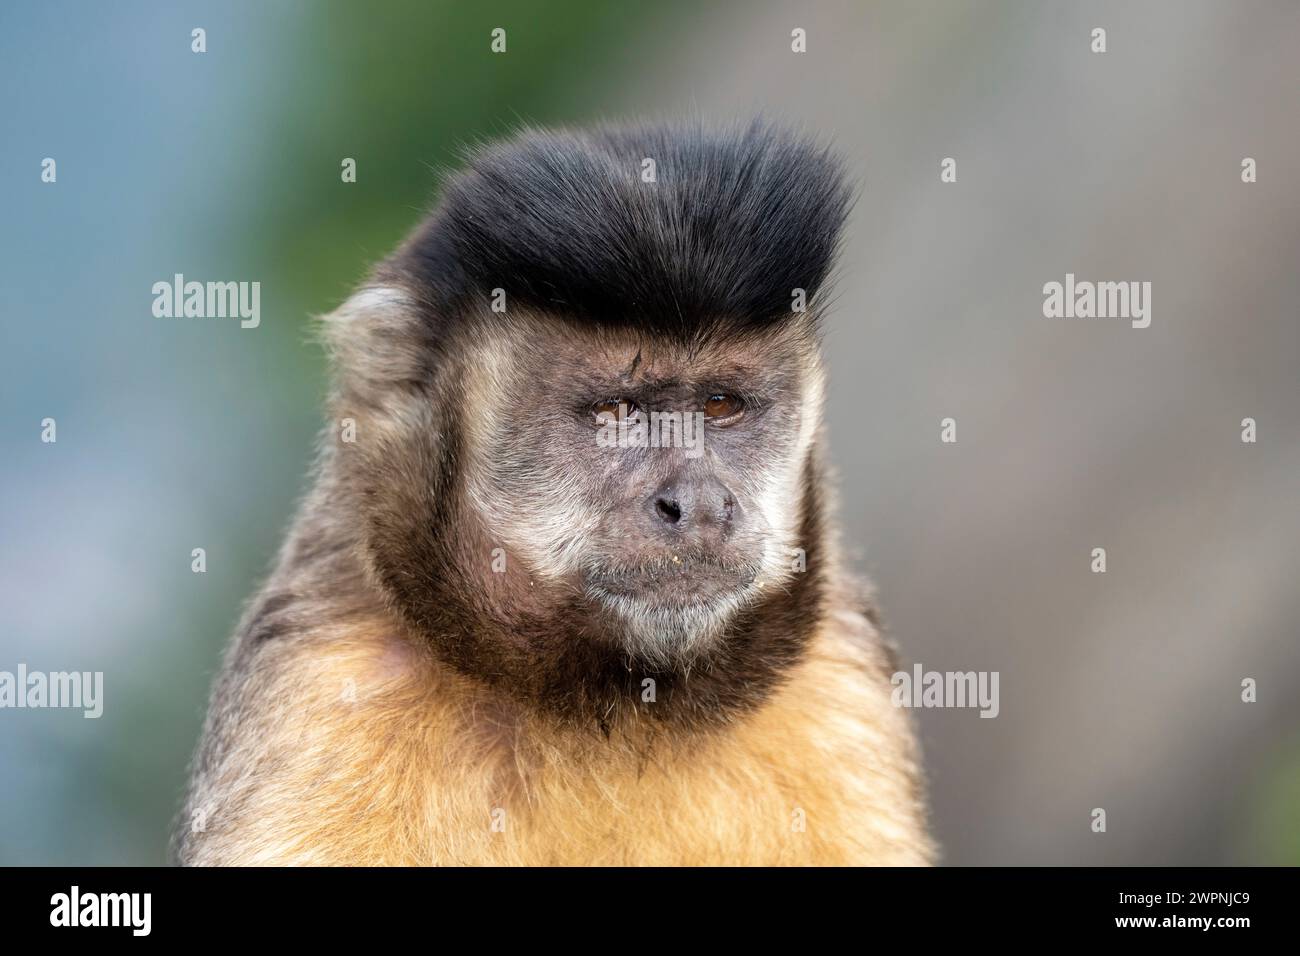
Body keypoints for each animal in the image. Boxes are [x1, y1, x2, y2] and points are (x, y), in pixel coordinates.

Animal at [176, 120, 935, 866]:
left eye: (721, 406)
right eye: (615, 412)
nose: (698, 503)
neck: (614, 706)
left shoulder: (844, 680)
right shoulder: (316, 688)